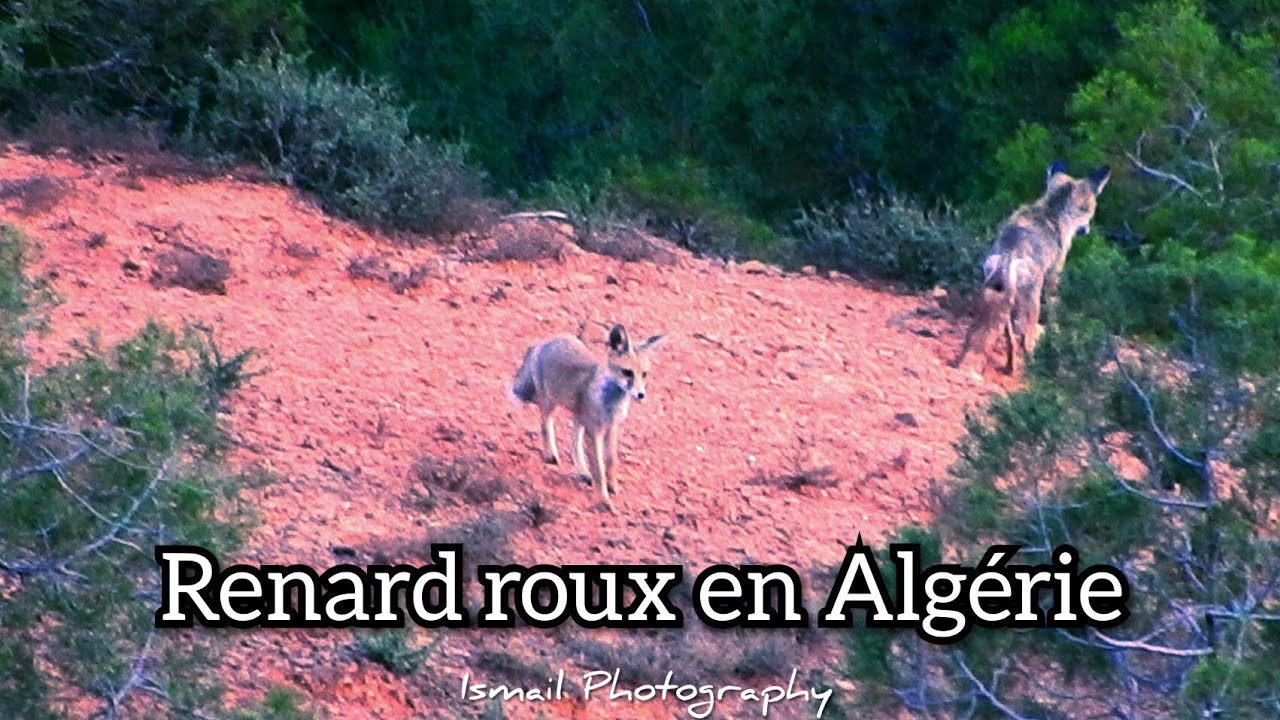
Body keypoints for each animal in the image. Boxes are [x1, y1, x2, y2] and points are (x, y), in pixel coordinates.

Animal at [511, 324, 665, 508]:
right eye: (627, 372)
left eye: (644, 374)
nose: (641, 395)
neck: (612, 404)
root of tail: (549, 340)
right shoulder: (595, 431)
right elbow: (598, 468)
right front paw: (604, 499)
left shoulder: (612, 427)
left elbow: (611, 461)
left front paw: (612, 487)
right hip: (550, 402)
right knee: (545, 425)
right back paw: (550, 455)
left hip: (579, 417)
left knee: (574, 442)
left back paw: (582, 471)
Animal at [952, 160, 1111, 375]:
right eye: (1086, 209)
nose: (1085, 230)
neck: (1052, 214)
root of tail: (1007, 258)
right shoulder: (1054, 273)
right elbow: (1053, 309)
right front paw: (1055, 334)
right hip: (1030, 304)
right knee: (1026, 338)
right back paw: (1034, 364)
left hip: (1001, 302)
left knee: (1009, 339)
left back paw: (1011, 367)